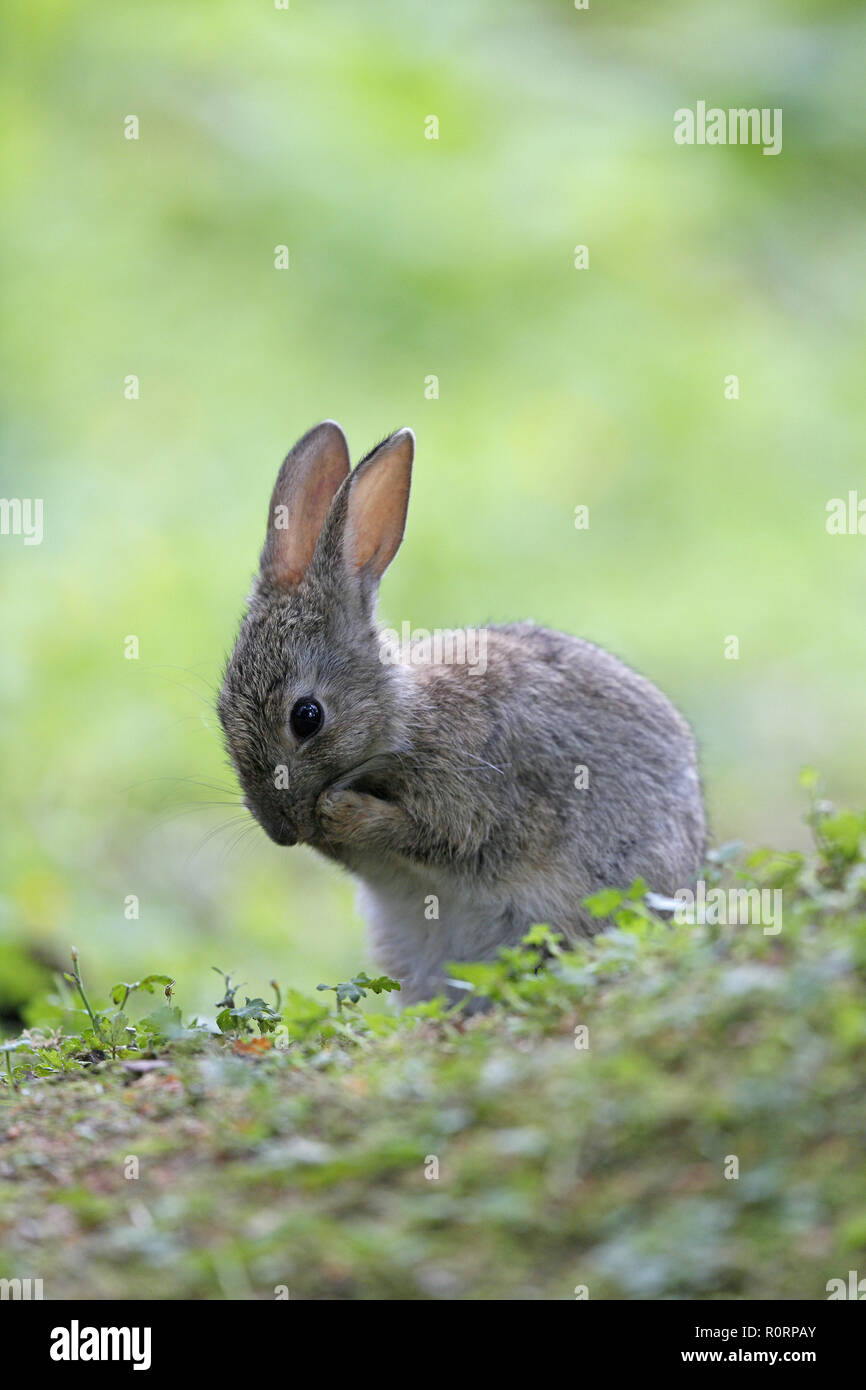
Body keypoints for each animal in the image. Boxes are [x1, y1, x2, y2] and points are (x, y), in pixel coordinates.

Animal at [218, 420, 706, 1005]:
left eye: (307, 717)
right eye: (221, 715)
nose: (280, 831)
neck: (399, 726)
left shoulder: (475, 801)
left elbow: (436, 838)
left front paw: (342, 810)